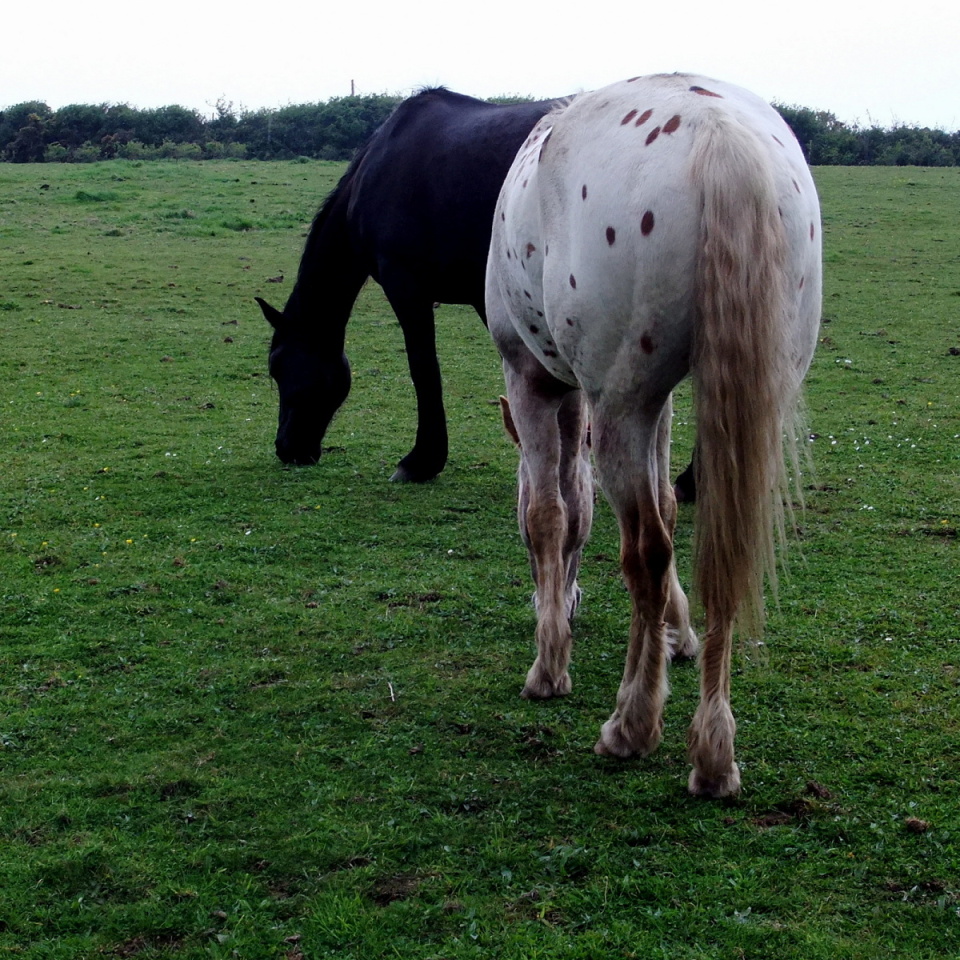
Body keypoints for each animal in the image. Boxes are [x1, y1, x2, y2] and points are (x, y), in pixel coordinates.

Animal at [486, 73, 821, 797]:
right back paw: (714, 752)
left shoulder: (532, 377)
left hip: (620, 408)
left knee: (646, 553)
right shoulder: (658, 402)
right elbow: (660, 502)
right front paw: (677, 634)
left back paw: (633, 725)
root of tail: (719, 137)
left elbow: (553, 513)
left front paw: (550, 666)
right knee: (713, 547)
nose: (566, 604)